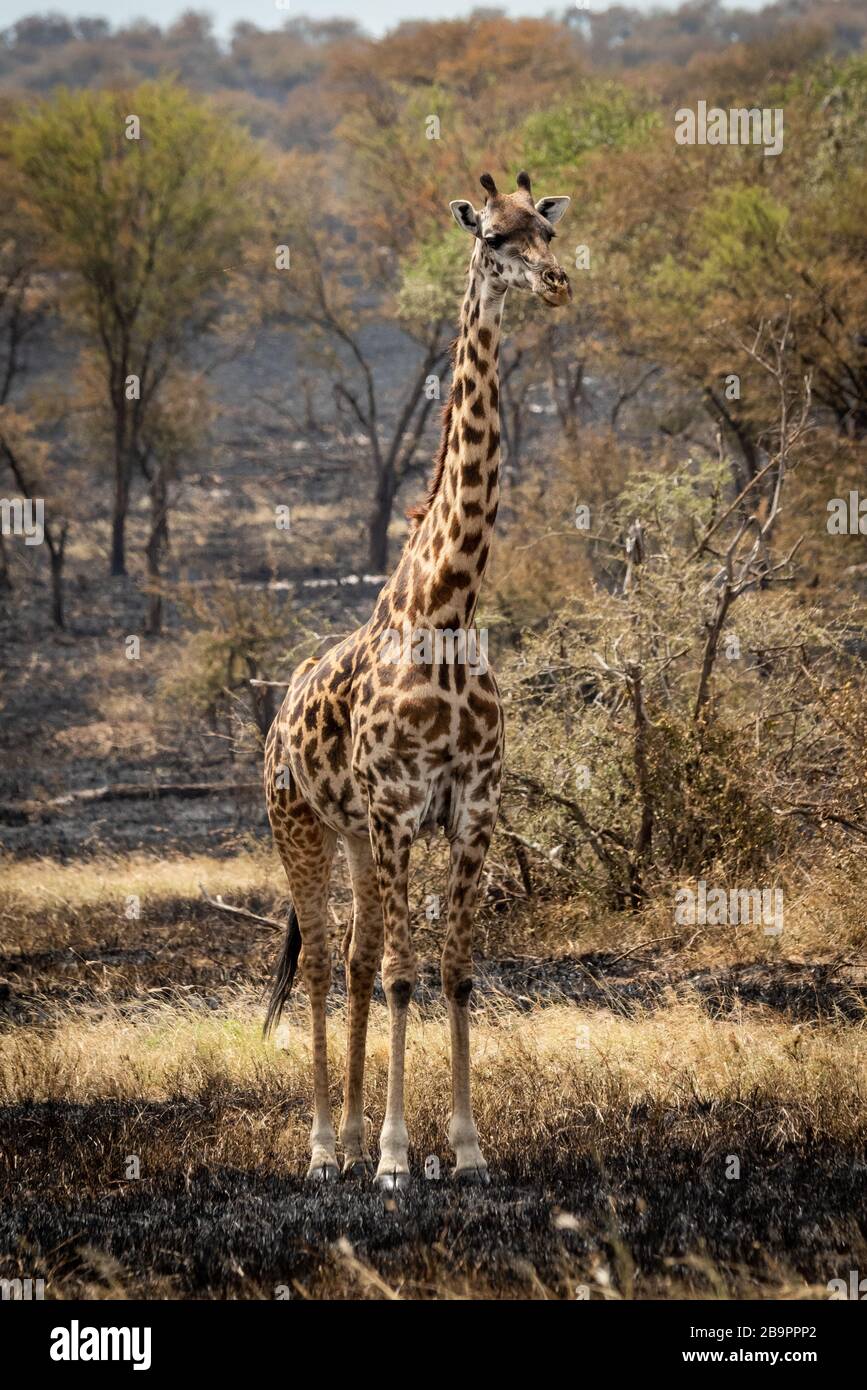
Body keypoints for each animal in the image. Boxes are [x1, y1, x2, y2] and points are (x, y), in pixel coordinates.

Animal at [263, 170, 571, 1190]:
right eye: (491, 239)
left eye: (547, 225)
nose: (557, 282)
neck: (448, 608)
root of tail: (276, 713)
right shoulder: (401, 808)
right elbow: (405, 975)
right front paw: (401, 1158)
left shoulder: (470, 810)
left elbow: (453, 972)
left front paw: (466, 1149)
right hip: (302, 826)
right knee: (325, 962)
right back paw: (327, 1147)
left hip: (358, 838)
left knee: (358, 962)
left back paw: (354, 1134)